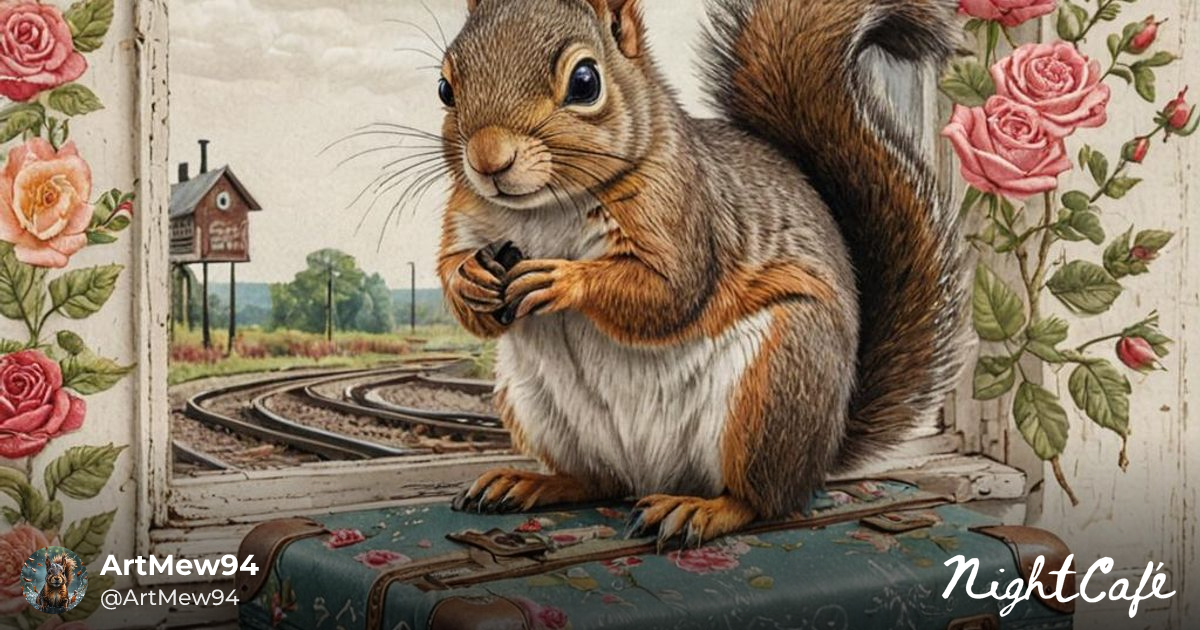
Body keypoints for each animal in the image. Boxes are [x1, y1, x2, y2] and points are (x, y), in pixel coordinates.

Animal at [436, 0, 966, 546]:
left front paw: (564, 279)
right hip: (538, 408)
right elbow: (452, 271)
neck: (546, 209)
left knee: (763, 501)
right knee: (598, 480)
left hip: (775, 387)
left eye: (585, 82)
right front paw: (467, 281)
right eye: (445, 88)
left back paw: (700, 510)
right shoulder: (468, 216)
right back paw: (529, 482)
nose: (488, 160)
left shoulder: (685, 212)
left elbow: (670, 294)